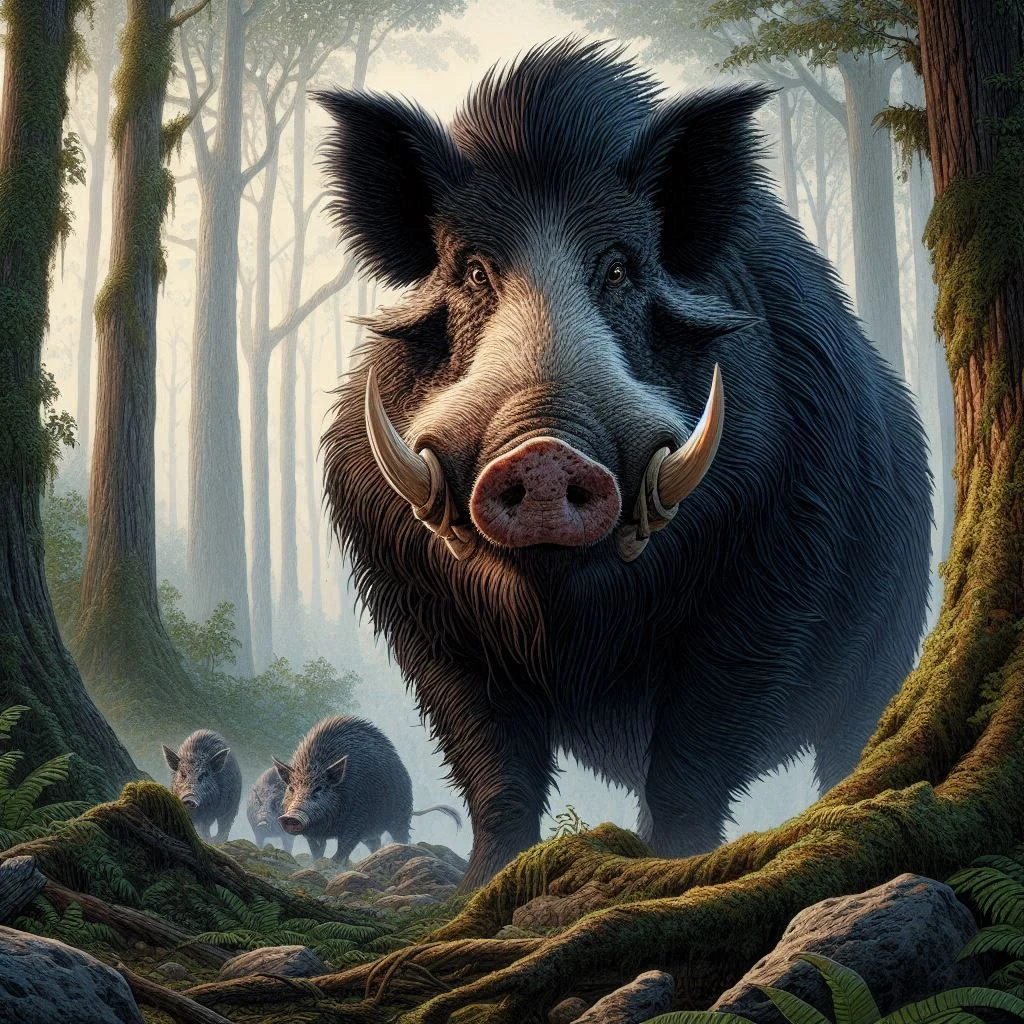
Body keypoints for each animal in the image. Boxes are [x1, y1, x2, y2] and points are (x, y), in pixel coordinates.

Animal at [273, 716, 462, 864]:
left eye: (319, 789)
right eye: (291, 788)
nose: (290, 817)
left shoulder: (358, 816)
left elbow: (345, 845)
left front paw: (334, 864)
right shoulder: (313, 833)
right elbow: (317, 849)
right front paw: (316, 863)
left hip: (400, 815)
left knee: (401, 836)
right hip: (374, 831)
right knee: (375, 843)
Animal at [315, 40, 932, 889]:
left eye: (619, 269)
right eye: (472, 271)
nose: (543, 453)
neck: (562, 604)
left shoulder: (779, 568)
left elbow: (692, 753)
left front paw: (671, 869)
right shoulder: (417, 608)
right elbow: (495, 768)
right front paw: (480, 890)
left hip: (892, 636)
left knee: (853, 740)